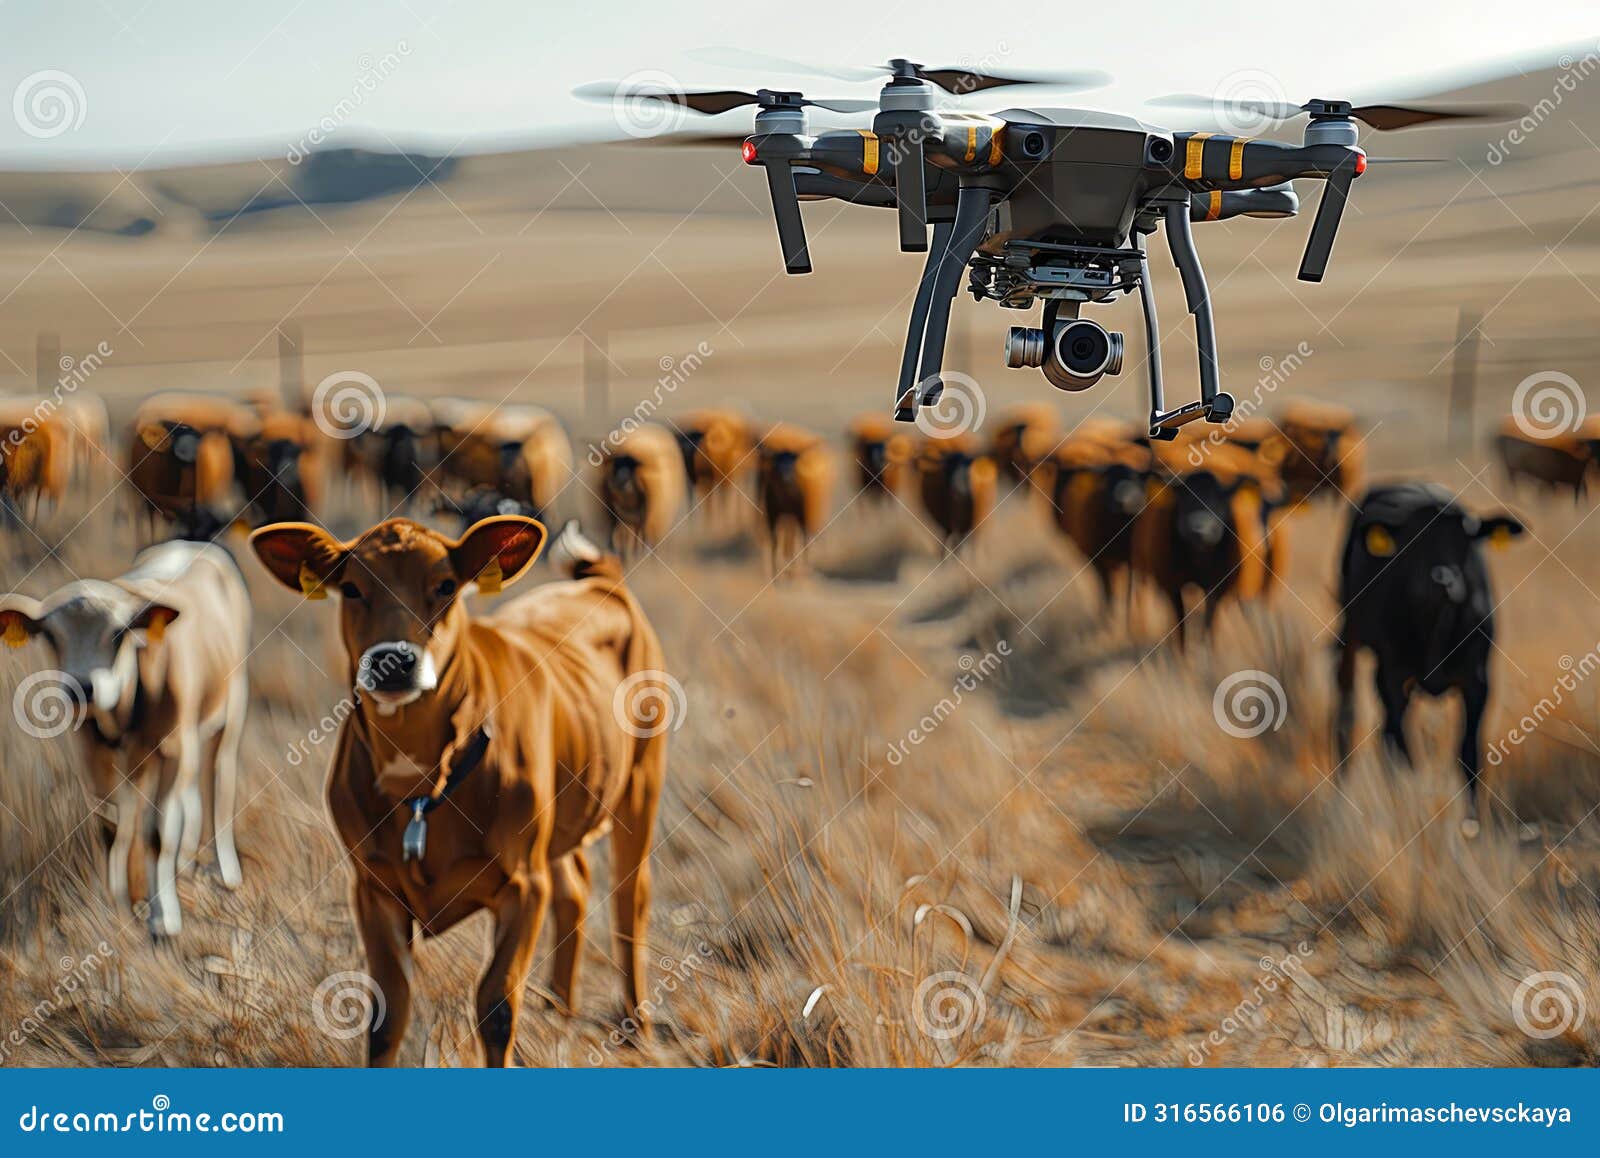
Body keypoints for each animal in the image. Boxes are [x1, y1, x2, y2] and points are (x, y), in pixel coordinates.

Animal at [0, 540, 250, 934]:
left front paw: (165, 919)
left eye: (118, 633)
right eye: (52, 635)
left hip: (231, 708)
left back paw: (226, 873)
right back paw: (183, 862)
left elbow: (157, 834)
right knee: (183, 796)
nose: (82, 687)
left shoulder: (173, 750)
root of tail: (190, 543)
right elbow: (111, 828)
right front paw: (117, 907)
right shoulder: (92, 754)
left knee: (219, 782)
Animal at [247, 515, 669, 1066]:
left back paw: (637, 1025)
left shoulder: (524, 883)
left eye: (446, 585)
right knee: (574, 888)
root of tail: (600, 584)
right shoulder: (372, 886)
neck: (418, 780)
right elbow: (387, 1014)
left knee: (629, 900)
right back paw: (558, 1010)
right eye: (352, 588)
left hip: (641, 784)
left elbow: (496, 1005)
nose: (393, 659)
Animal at [596, 423, 687, 561]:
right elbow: (621, 541)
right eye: (615, 465)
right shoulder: (619, 517)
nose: (620, 482)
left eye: (633, 465)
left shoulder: (644, 518)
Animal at [756, 424, 833, 575]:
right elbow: (775, 542)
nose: (786, 476)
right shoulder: (772, 515)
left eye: (794, 461)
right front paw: (775, 573)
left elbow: (804, 539)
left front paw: (804, 569)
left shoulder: (801, 514)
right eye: (776, 462)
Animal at [1334, 483, 1526, 835]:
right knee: (1351, 714)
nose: (1443, 579)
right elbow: (1406, 754)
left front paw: (1472, 824)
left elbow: (1468, 752)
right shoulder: (1392, 676)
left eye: (1466, 538)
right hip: (1349, 633)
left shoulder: (1478, 682)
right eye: (1414, 539)